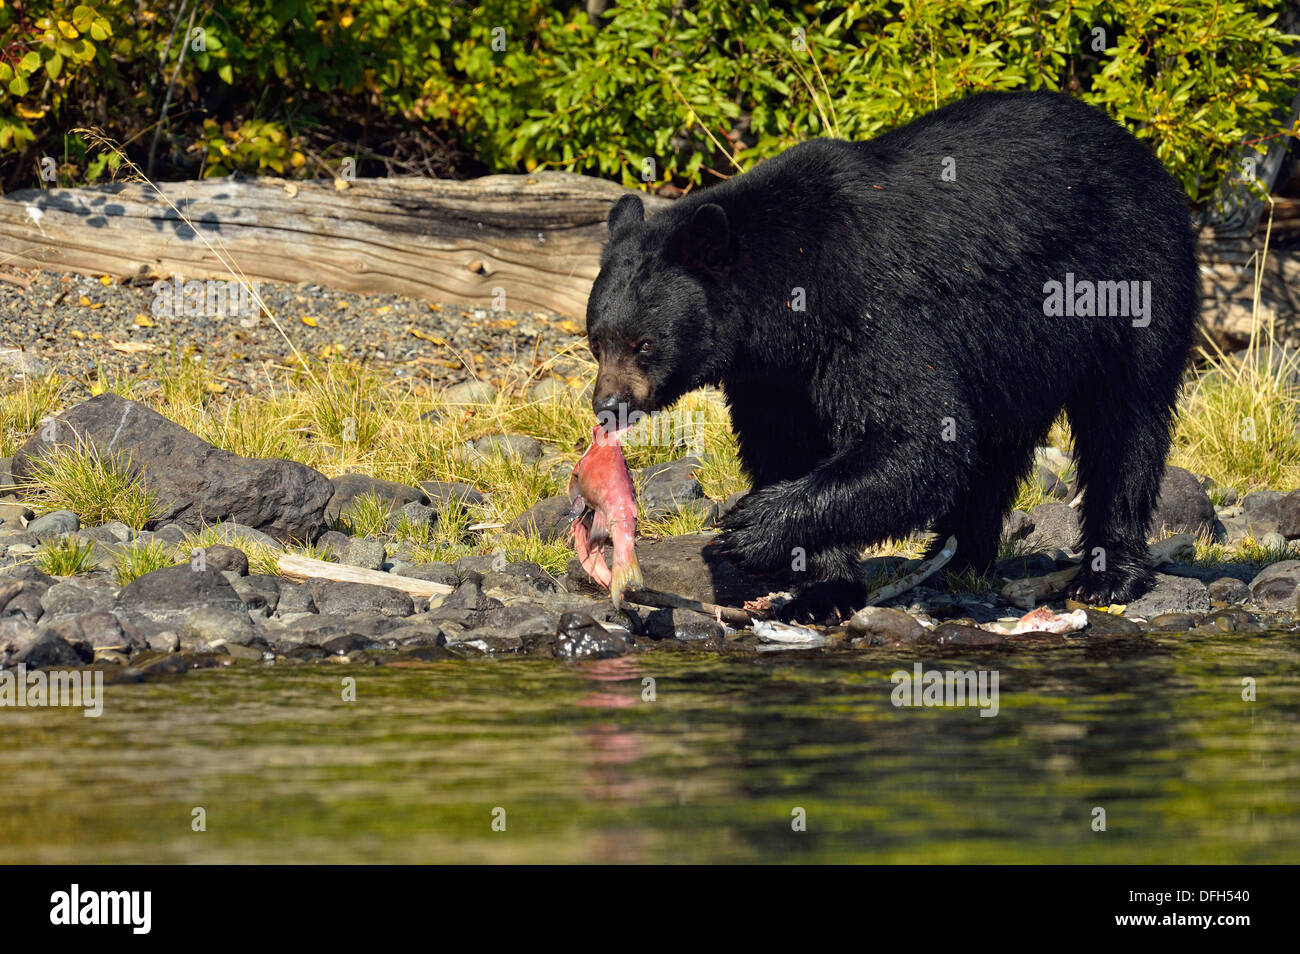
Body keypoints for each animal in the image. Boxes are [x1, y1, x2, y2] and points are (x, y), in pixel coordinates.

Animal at [584, 90, 1199, 622]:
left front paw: (751, 529)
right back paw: (956, 558)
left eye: (644, 342)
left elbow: (915, 436)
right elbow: (787, 443)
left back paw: (1108, 572)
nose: (608, 405)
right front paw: (823, 588)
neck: (787, 292)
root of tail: (1140, 152)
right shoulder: (773, 373)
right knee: (997, 447)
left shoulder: (873, 311)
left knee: (1125, 423)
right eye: (596, 340)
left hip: (1129, 279)